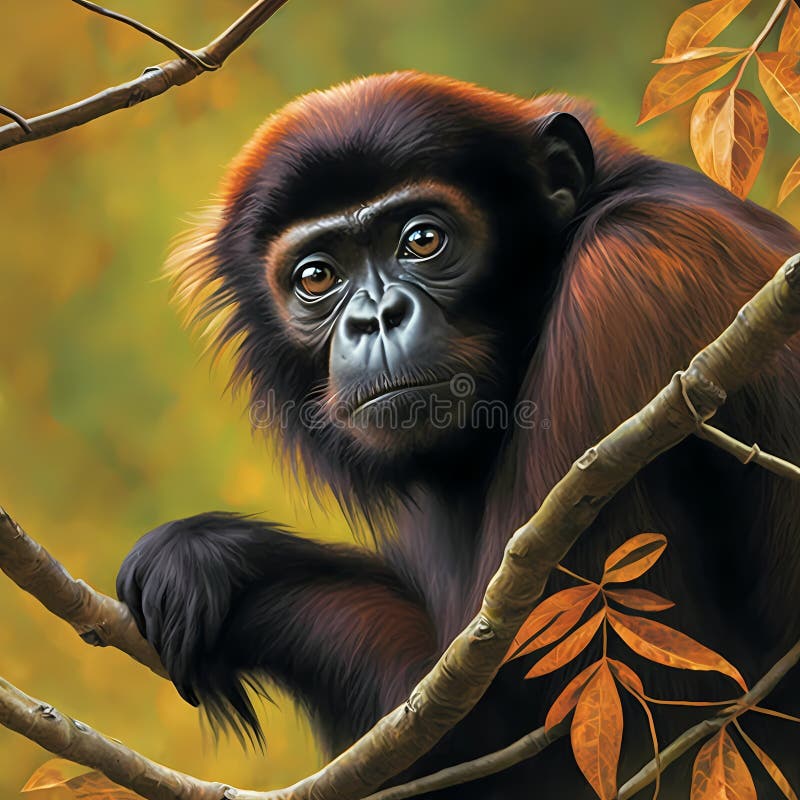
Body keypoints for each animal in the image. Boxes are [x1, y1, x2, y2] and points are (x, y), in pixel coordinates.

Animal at [117, 71, 800, 798]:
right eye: (316, 276)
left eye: (422, 240)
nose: (377, 316)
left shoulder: (629, 280)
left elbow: (534, 725)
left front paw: (207, 556)